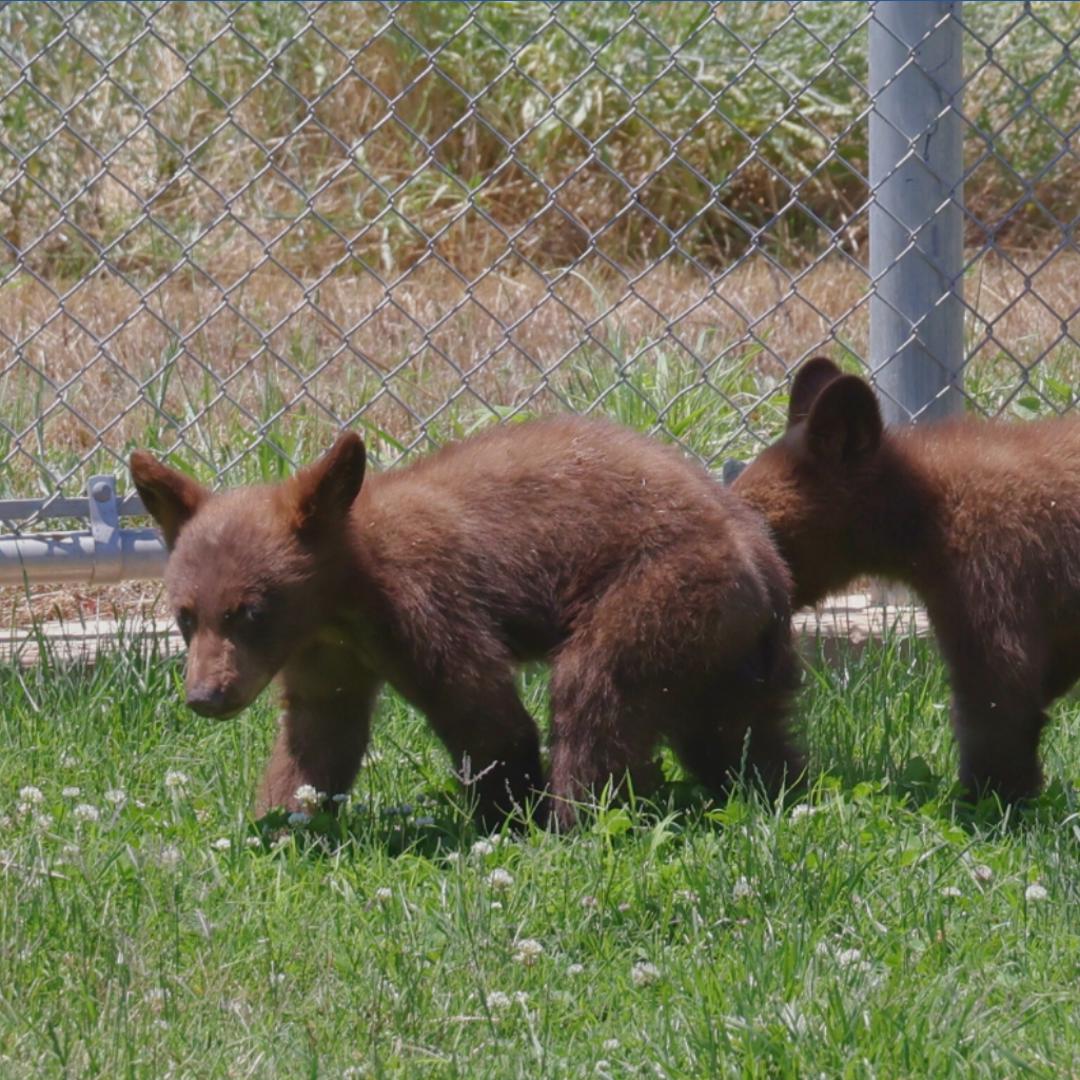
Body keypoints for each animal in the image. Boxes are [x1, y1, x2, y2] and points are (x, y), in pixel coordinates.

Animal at [131, 416, 801, 830]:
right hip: (727, 644)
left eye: (250, 611)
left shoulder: (424, 604)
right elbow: (319, 734)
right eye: (185, 616)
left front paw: (510, 817)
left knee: (597, 693)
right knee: (738, 730)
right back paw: (777, 792)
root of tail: (762, 553)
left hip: (660, 590)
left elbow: (483, 712)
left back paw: (574, 818)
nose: (205, 695)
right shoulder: (325, 654)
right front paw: (282, 822)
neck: (342, 595)